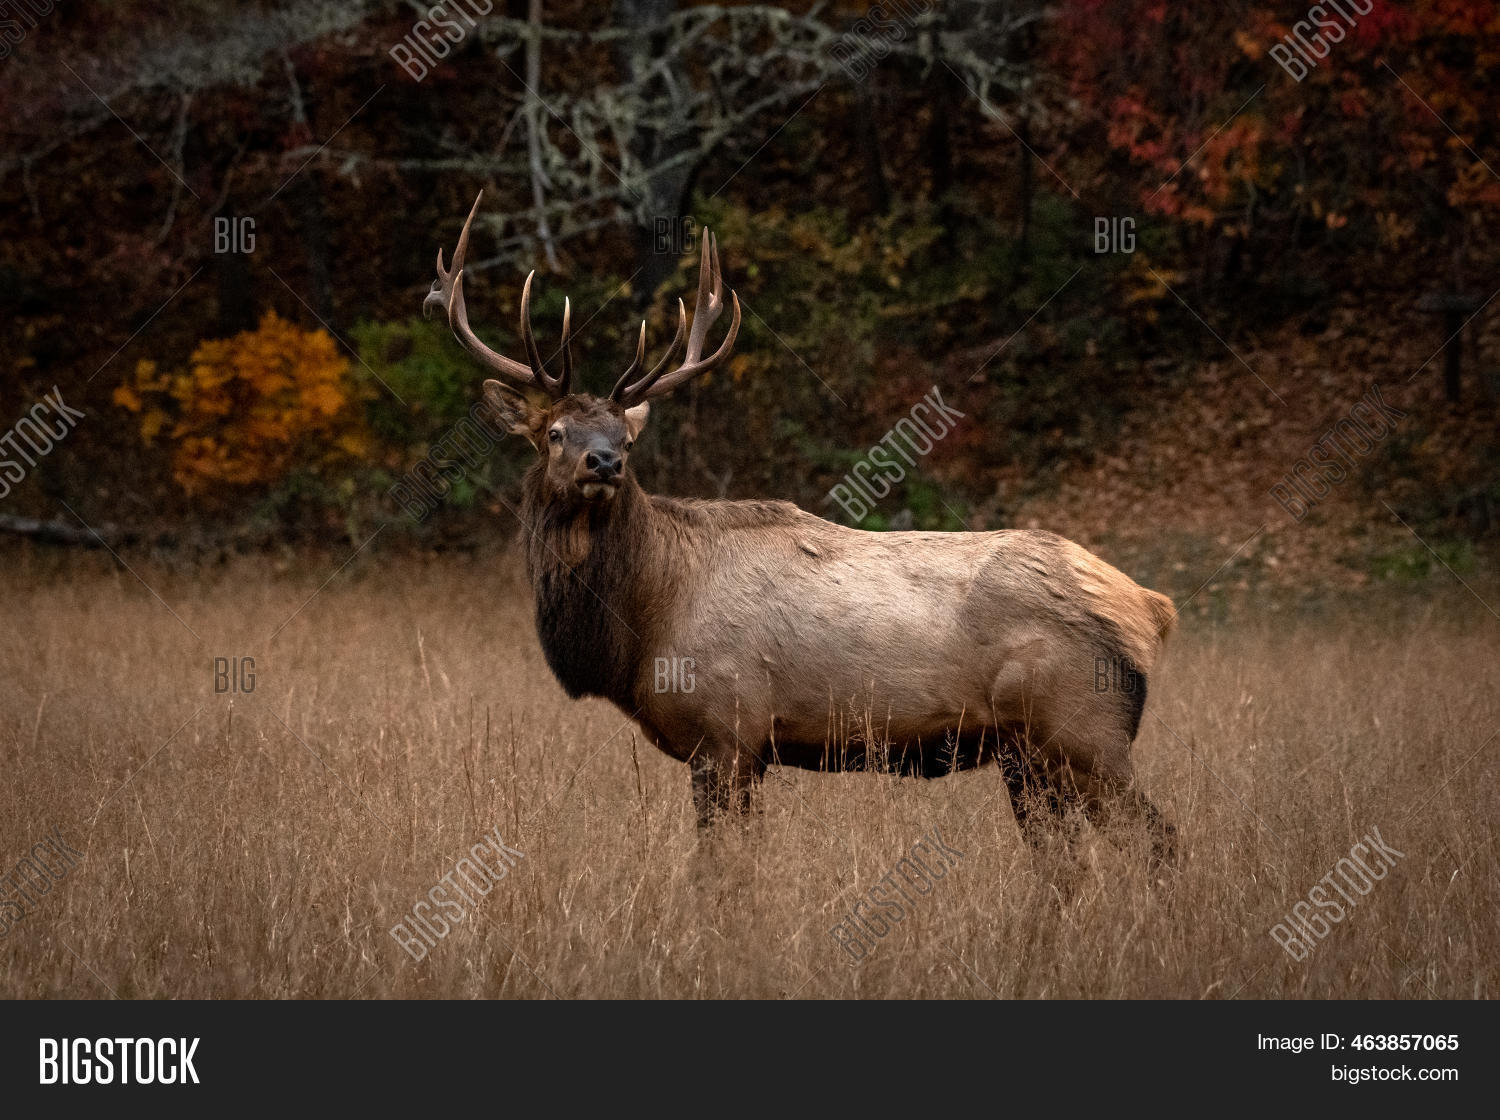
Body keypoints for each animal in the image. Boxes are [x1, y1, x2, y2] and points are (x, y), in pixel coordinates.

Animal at [425, 194, 1180, 870]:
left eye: (627, 440)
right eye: (555, 433)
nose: (604, 462)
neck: (642, 625)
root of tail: (1149, 608)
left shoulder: (726, 732)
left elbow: (721, 869)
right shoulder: (747, 751)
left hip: (1084, 730)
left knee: (1159, 839)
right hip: (1028, 754)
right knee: (1064, 862)